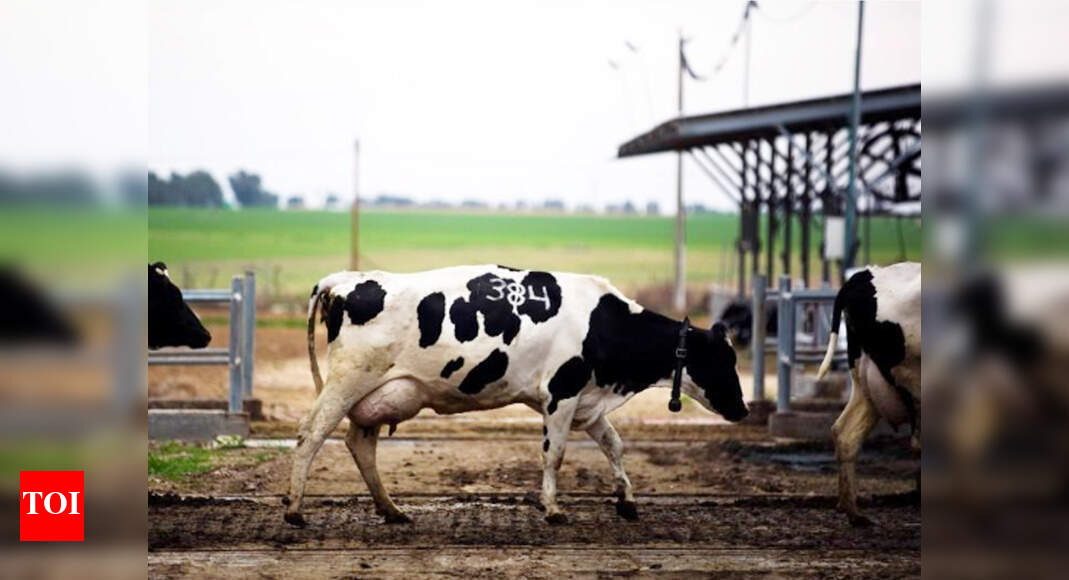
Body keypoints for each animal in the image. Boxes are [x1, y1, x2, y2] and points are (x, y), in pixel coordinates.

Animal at [284, 265, 748, 526]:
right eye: (724, 361)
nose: (743, 409)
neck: (602, 323)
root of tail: (346, 279)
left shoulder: (589, 402)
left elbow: (614, 445)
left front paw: (627, 501)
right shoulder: (561, 393)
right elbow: (554, 455)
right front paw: (553, 509)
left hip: (379, 395)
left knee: (360, 443)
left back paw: (392, 510)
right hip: (348, 381)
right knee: (311, 435)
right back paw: (294, 511)